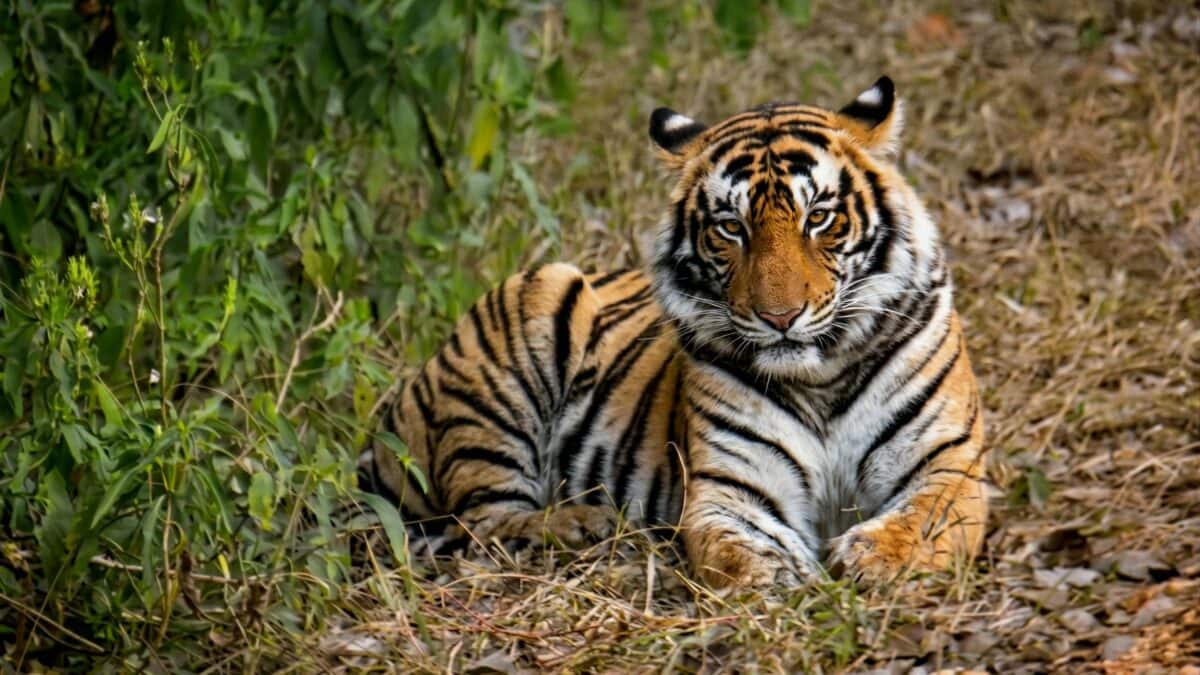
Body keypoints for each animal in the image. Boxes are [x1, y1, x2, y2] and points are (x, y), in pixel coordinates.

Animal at [359, 76, 988, 587]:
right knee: (484, 520)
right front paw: (784, 578)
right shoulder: (728, 486)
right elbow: (739, 549)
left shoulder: (948, 462)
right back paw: (584, 522)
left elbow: (922, 520)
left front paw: (868, 559)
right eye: (731, 228)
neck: (821, 378)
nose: (779, 317)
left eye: (819, 218)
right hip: (528, 314)